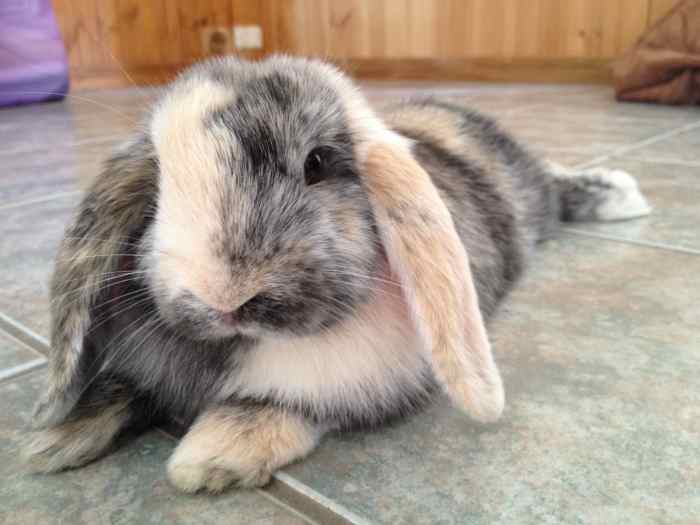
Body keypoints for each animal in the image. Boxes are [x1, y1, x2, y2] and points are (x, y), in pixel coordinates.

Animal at [22, 55, 651, 492]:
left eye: (318, 163)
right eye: (158, 188)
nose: (225, 297)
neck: (249, 343)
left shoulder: (351, 388)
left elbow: (282, 406)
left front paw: (213, 457)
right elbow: (119, 389)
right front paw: (50, 441)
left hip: (533, 194)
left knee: (557, 185)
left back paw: (623, 195)